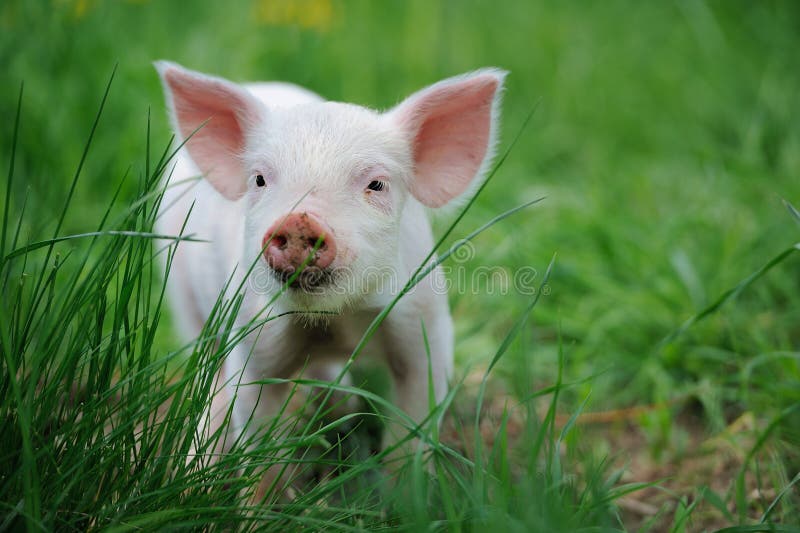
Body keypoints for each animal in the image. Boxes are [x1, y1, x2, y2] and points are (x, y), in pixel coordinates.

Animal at [154, 61, 506, 491]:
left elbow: (412, 425)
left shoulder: (426, 325)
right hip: (179, 288)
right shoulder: (252, 332)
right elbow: (257, 433)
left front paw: (404, 496)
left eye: (376, 184)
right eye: (259, 179)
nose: (299, 220)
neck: (337, 322)